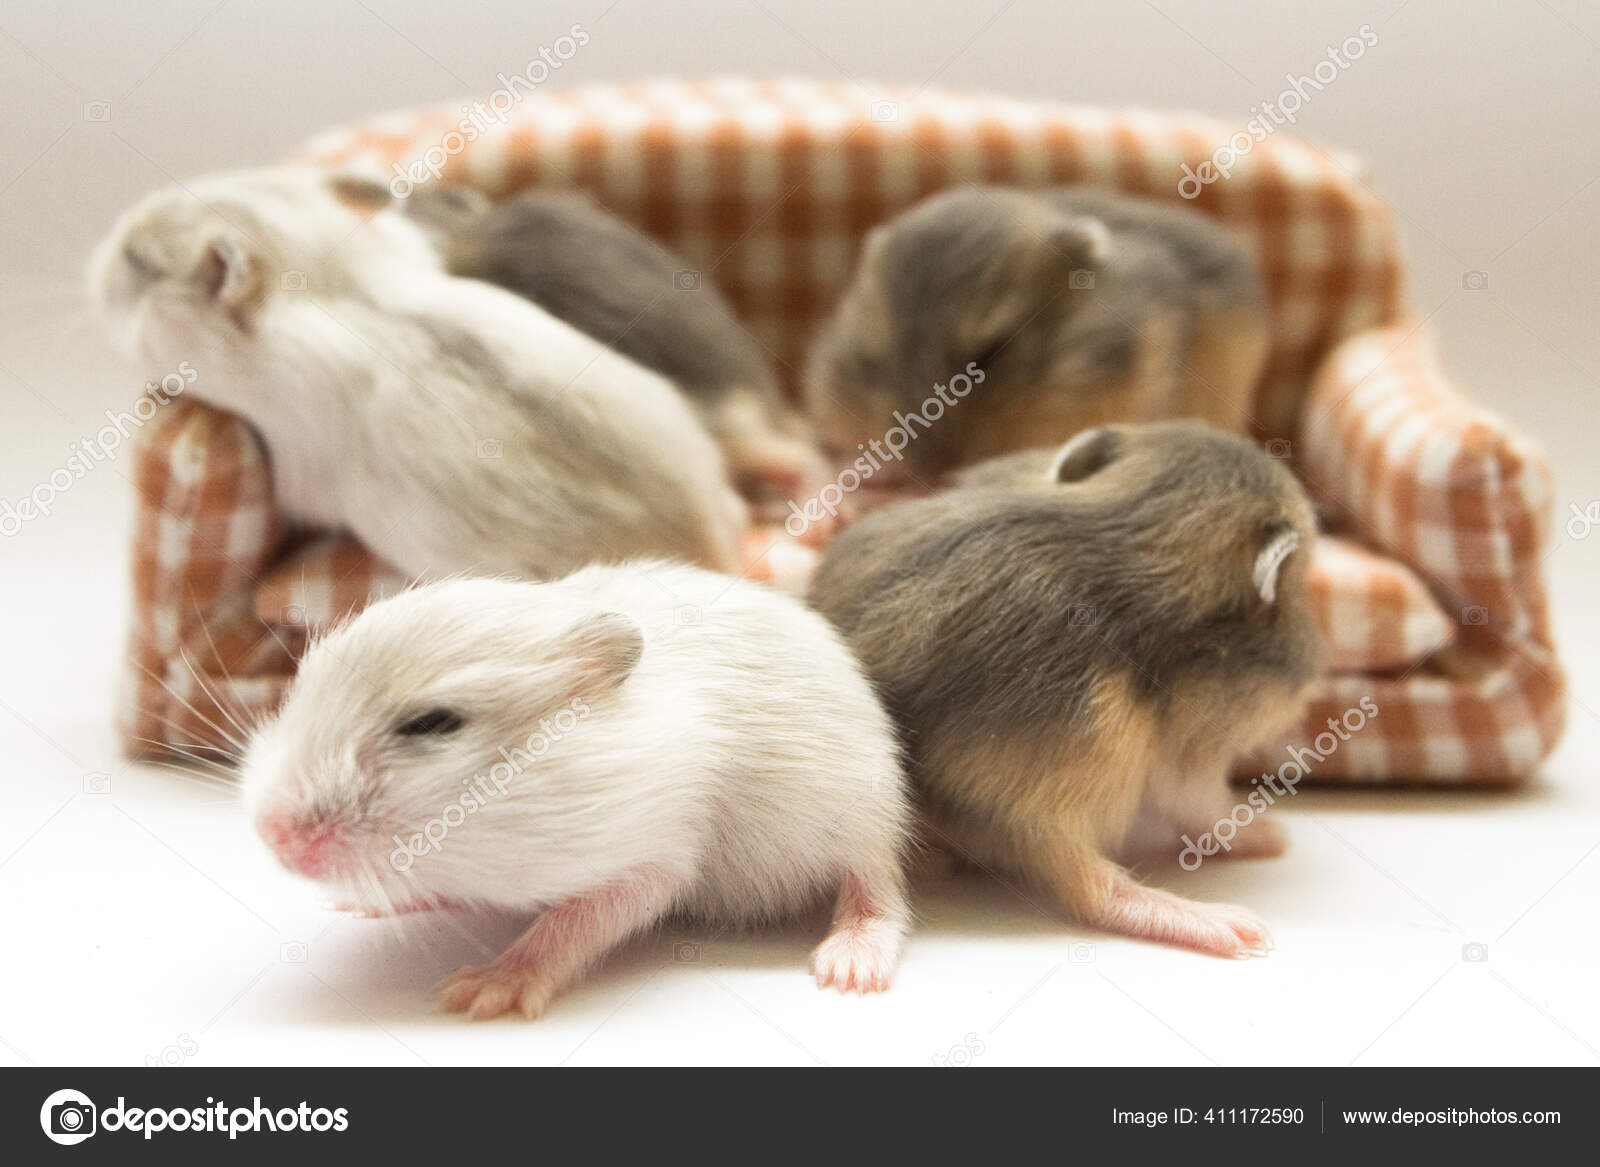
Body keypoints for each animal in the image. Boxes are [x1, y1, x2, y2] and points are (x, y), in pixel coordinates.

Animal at [241, 561, 913, 1018]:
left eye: (433, 724)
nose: (270, 836)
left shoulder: (653, 861)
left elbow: (568, 928)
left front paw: (480, 993)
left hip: (865, 814)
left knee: (877, 888)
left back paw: (850, 968)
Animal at [808, 421, 1319, 958]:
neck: (1142, 516)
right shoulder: (1190, 758)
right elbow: (1206, 806)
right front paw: (1273, 835)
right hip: (1046, 811)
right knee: (1097, 892)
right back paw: (1237, 925)